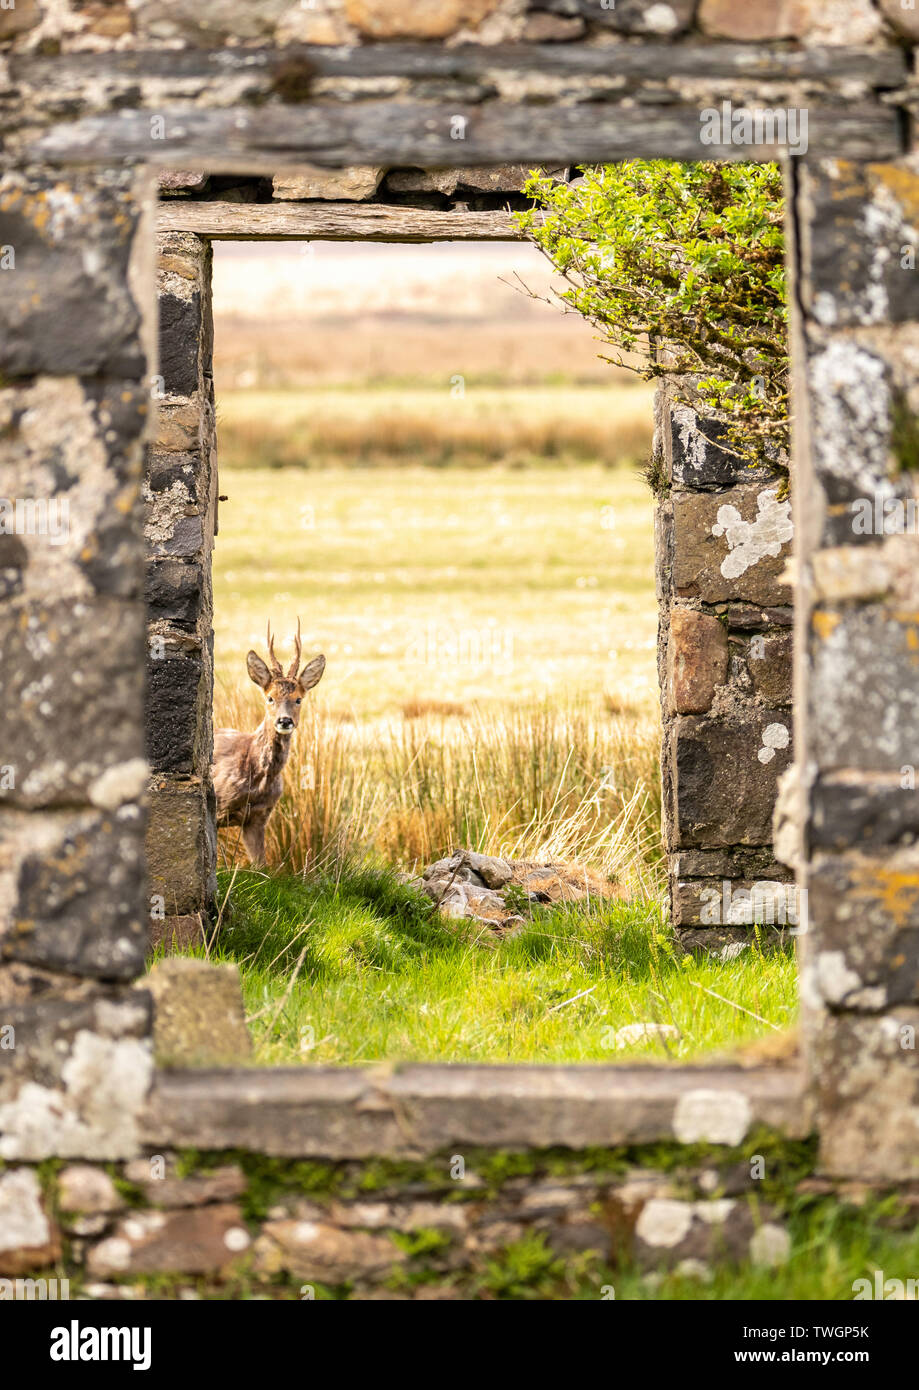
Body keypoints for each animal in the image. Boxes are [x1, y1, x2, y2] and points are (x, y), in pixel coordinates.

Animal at [212, 620, 326, 867]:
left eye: (298, 699)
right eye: (270, 698)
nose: (284, 720)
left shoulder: (258, 817)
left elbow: (261, 868)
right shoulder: (218, 806)